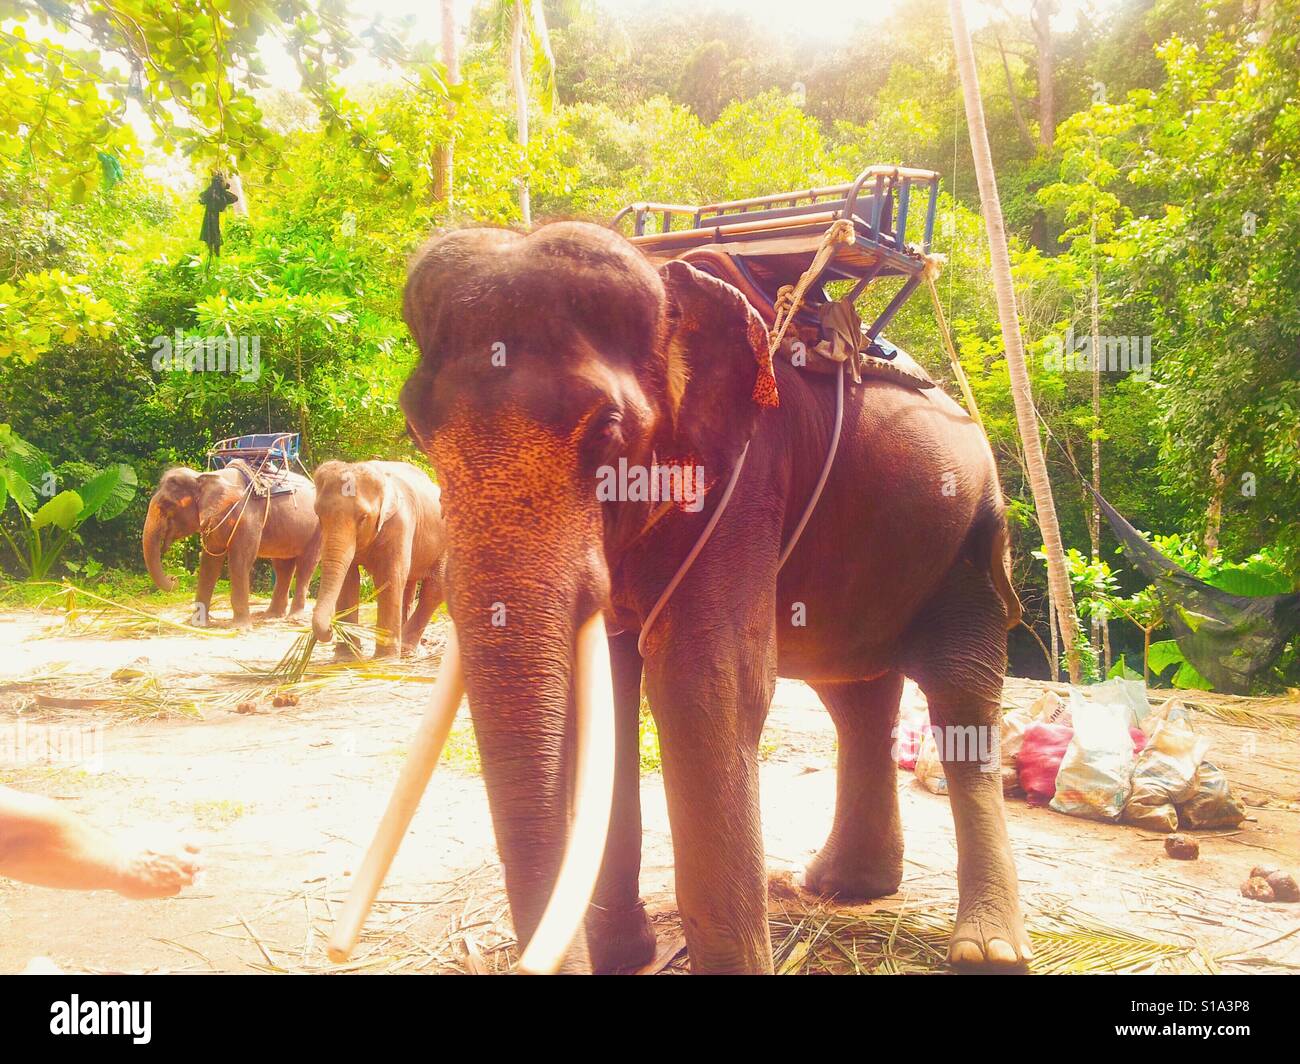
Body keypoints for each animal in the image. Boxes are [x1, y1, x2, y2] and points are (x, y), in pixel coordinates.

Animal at [143, 465, 321, 629]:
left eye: (167, 505)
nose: (174, 578)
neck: (205, 476)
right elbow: (209, 563)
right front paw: (198, 624)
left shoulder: (248, 518)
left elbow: (239, 561)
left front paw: (240, 628)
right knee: (282, 566)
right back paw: (271, 615)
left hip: (319, 528)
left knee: (306, 565)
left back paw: (294, 618)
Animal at [311, 460, 447, 658]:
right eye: (319, 515)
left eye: (363, 518)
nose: (330, 628)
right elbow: (349, 578)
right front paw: (345, 657)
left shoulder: (400, 523)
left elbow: (389, 575)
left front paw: (385, 659)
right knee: (409, 586)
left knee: (435, 587)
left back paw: (406, 649)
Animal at [396, 221, 1028, 974]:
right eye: (416, 428)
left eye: (607, 431)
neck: (668, 279)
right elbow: (603, 695)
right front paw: (622, 956)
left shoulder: (748, 471)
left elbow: (705, 682)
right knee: (856, 696)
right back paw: (844, 886)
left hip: (968, 544)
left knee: (961, 695)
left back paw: (988, 947)